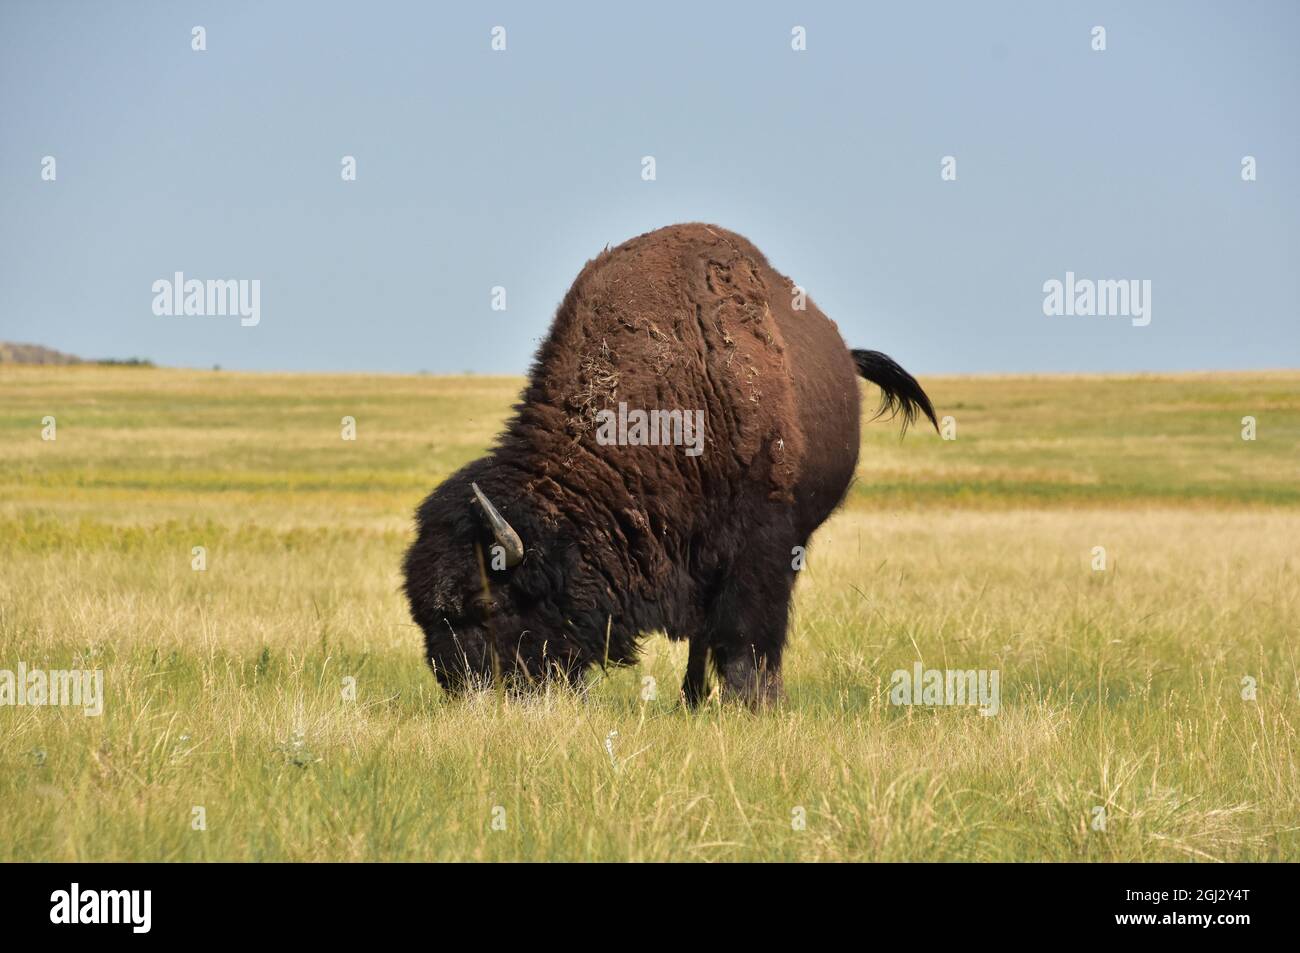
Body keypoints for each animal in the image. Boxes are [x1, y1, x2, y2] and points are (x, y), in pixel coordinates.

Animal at [403, 223, 936, 707]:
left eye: (488, 604)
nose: (463, 690)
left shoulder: (762, 544)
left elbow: (748, 633)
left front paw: (756, 703)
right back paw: (692, 697)